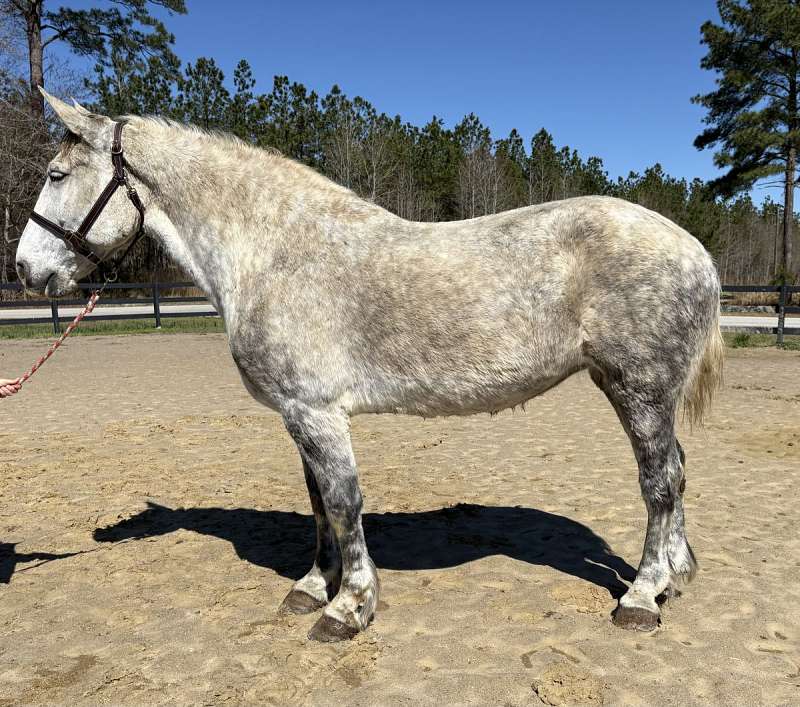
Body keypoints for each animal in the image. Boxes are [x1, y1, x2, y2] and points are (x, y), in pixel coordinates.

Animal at [15, 89, 723, 642]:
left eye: (55, 174)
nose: (26, 270)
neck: (274, 253)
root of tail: (695, 252)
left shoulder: (316, 412)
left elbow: (343, 499)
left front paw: (348, 608)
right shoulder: (299, 414)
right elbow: (317, 503)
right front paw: (312, 586)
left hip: (639, 388)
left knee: (660, 483)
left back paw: (642, 596)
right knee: (677, 472)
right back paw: (675, 577)